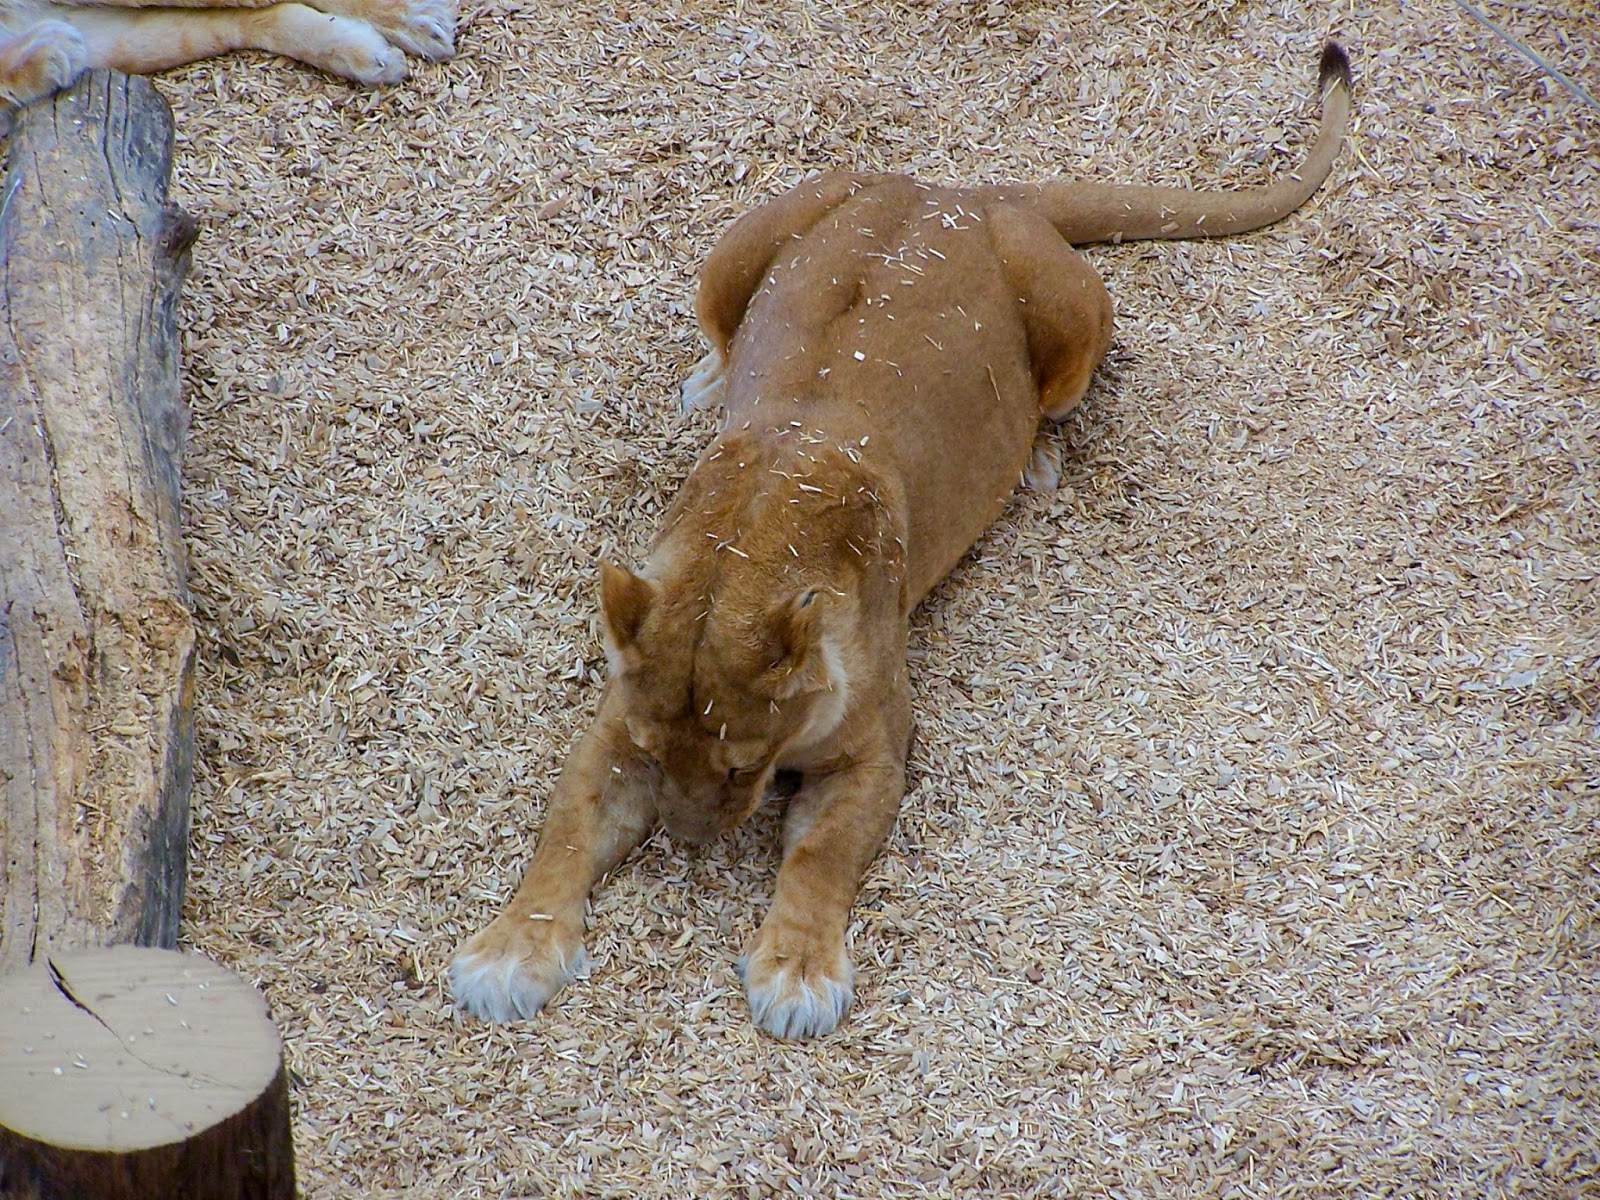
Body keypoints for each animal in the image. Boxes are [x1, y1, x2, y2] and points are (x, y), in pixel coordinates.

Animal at [450, 44, 1354, 1039]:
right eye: (655, 756)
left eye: (744, 763)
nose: (687, 840)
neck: (751, 537)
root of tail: (959, 192)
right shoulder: (616, 726)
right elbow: (564, 831)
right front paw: (508, 954)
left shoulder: (874, 753)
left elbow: (819, 860)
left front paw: (797, 976)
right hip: (747, 242)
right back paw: (708, 382)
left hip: (1075, 313)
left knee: (1061, 396)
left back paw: (1037, 459)